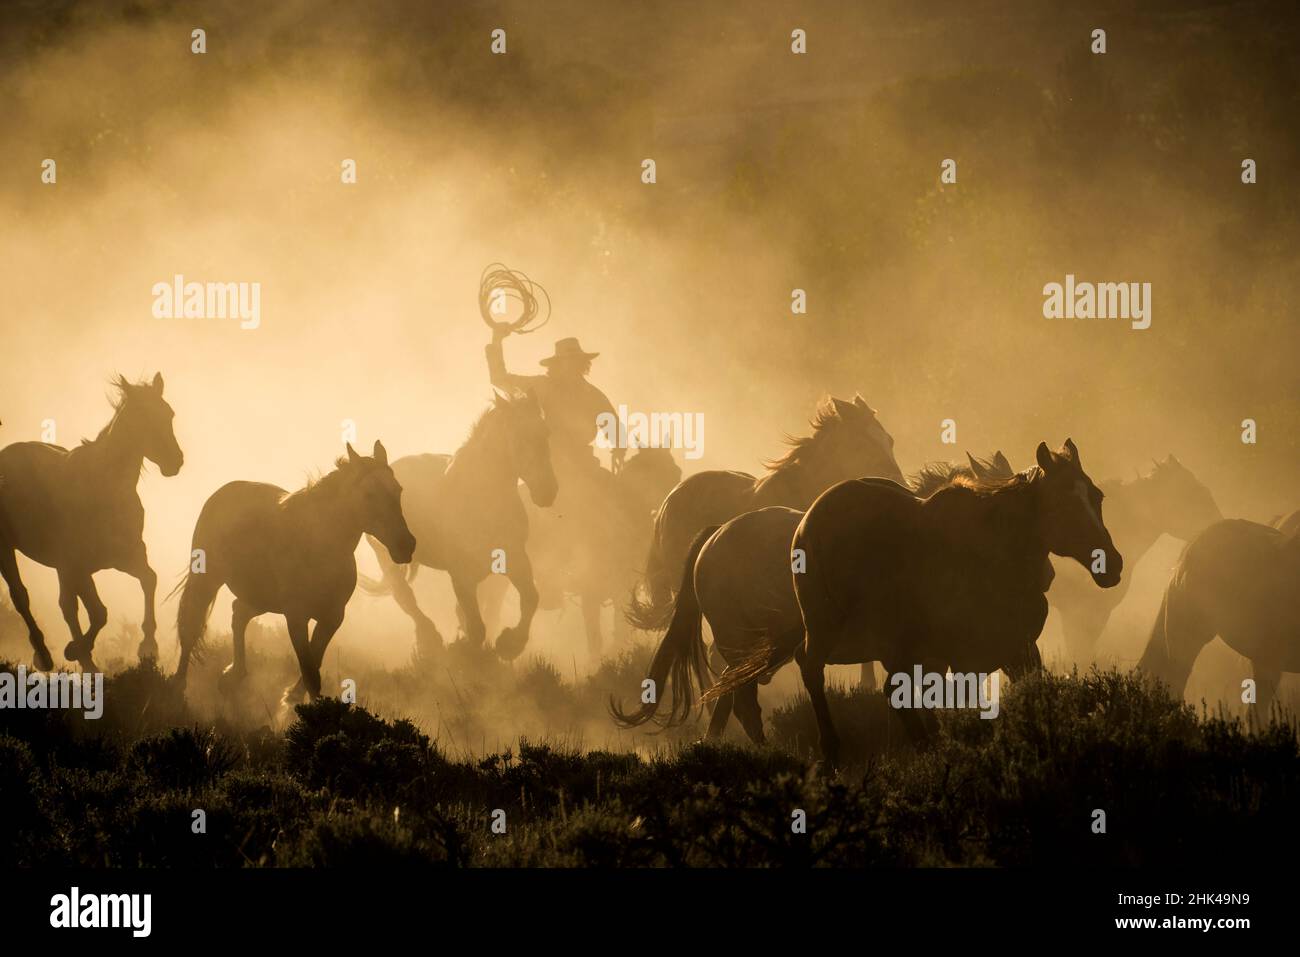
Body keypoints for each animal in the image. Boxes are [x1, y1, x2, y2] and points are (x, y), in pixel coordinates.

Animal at [0, 374, 183, 671]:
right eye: (141, 417)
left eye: (169, 414)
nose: (175, 461)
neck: (104, 489)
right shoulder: (77, 566)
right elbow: (99, 613)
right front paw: (74, 650)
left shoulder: (126, 556)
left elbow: (149, 579)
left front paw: (148, 647)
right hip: (8, 549)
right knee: (22, 598)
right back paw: (45, 655)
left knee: (66, 605)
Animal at [172, 441, 415, 707]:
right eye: (368, 494)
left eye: (399, 490)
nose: (405, 545)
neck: (320, 547)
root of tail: (222, 492)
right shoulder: (296, 616)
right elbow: (310, 671)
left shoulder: (332, 616)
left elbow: (314, 662)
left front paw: (293, 697)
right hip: (208, 580)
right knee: (191, 626)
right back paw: (180, 685)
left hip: (260, 597)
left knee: (239, 614)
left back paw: (232, 677)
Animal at [361, 389, 557, 660]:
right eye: (518, 437)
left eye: (545, 432)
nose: (547, 491)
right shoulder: (461, 574)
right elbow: (475, 627)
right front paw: (465, 652)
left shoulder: (515, 558)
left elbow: (530, 598)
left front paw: (509, 644)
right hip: (387, 558)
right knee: (405, 597)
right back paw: (430, 641)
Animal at [480, 443, 681, 660]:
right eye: (657, 469)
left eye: (675, 471)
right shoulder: (590, 592)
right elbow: (595, 637)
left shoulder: (621, 590)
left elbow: (620, 631)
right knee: (492, 608)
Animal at [789, 439, 1121, 767]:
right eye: (1062, 503)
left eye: (1098, 496)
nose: (1113, 564)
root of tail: (807, 522)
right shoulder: (966, 657)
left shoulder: (1019, 650)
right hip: (830, 628)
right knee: (816, 669)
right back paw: (833, 749)